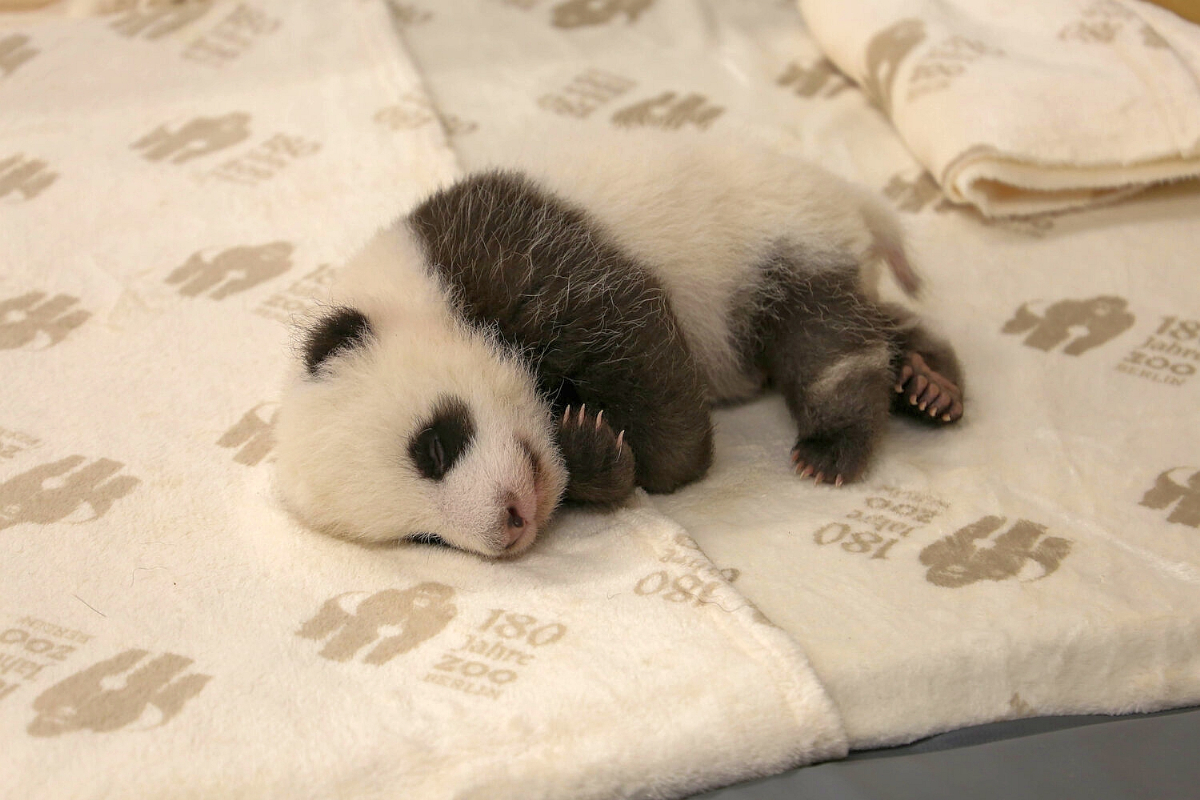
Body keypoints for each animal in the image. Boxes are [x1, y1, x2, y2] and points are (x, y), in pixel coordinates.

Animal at [273, 137, 963, 559]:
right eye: (425, 539)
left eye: (434, 447)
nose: (510, 526)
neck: (417, 290)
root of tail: (851, 200)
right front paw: (591, 447)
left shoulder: (520, 252)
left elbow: (636, 337)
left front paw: (669, 459)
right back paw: (928, 384)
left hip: (781, 239)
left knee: (826, 341)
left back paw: (838, 442)